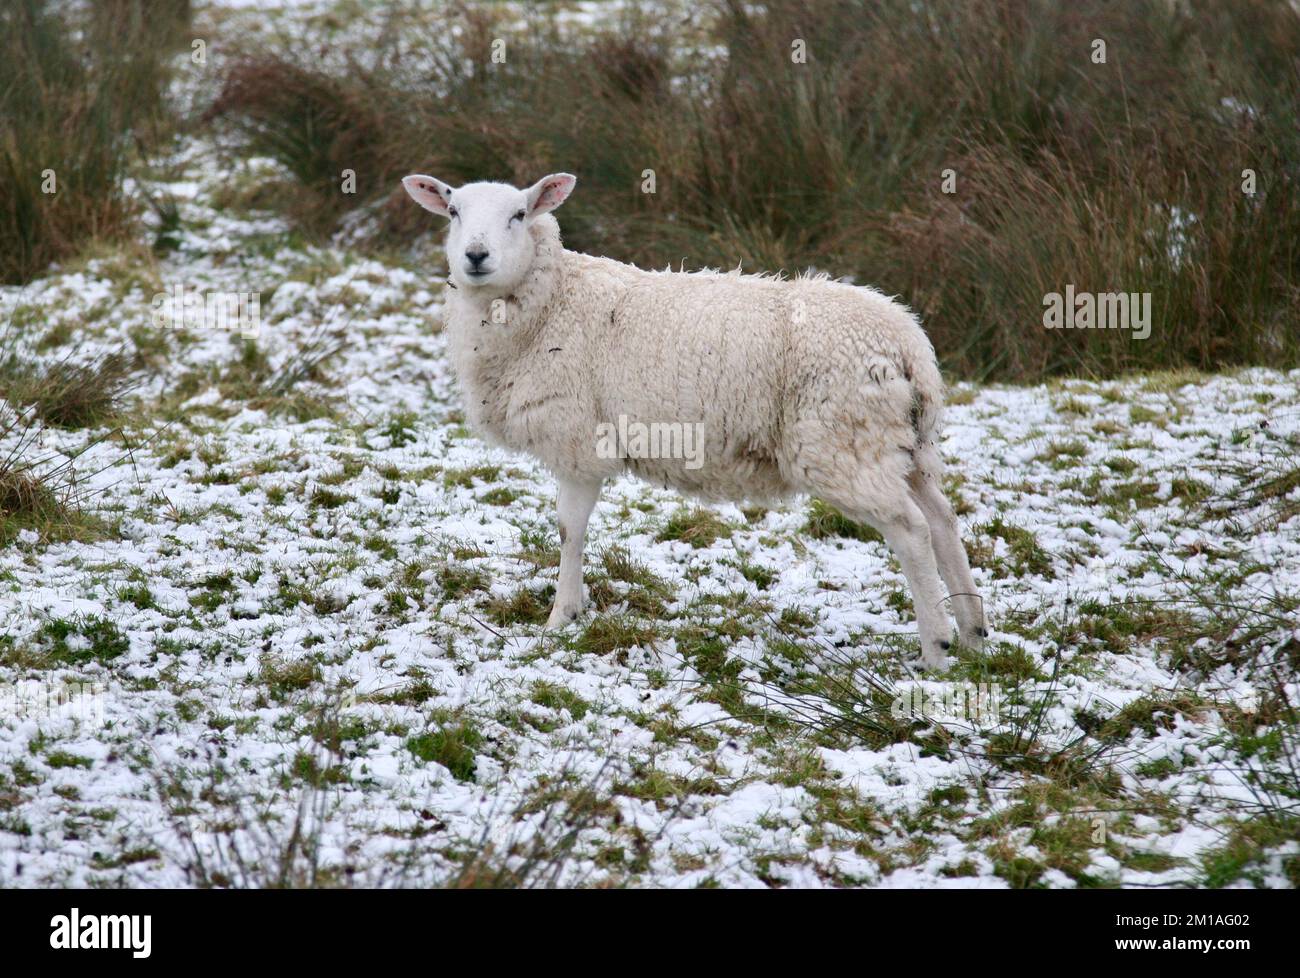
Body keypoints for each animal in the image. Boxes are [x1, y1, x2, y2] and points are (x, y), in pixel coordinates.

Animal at [400, 172, 987, 668]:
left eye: (519, 214)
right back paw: (974, 634)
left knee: (911, 530)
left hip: (844, 442)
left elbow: (570, 529)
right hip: (903, 443)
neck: (553, 302)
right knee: (942, 520)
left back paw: (936, 648)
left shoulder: (578, 443)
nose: (476, 256)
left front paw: (560, 616)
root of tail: (909, 341)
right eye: (453, 211)